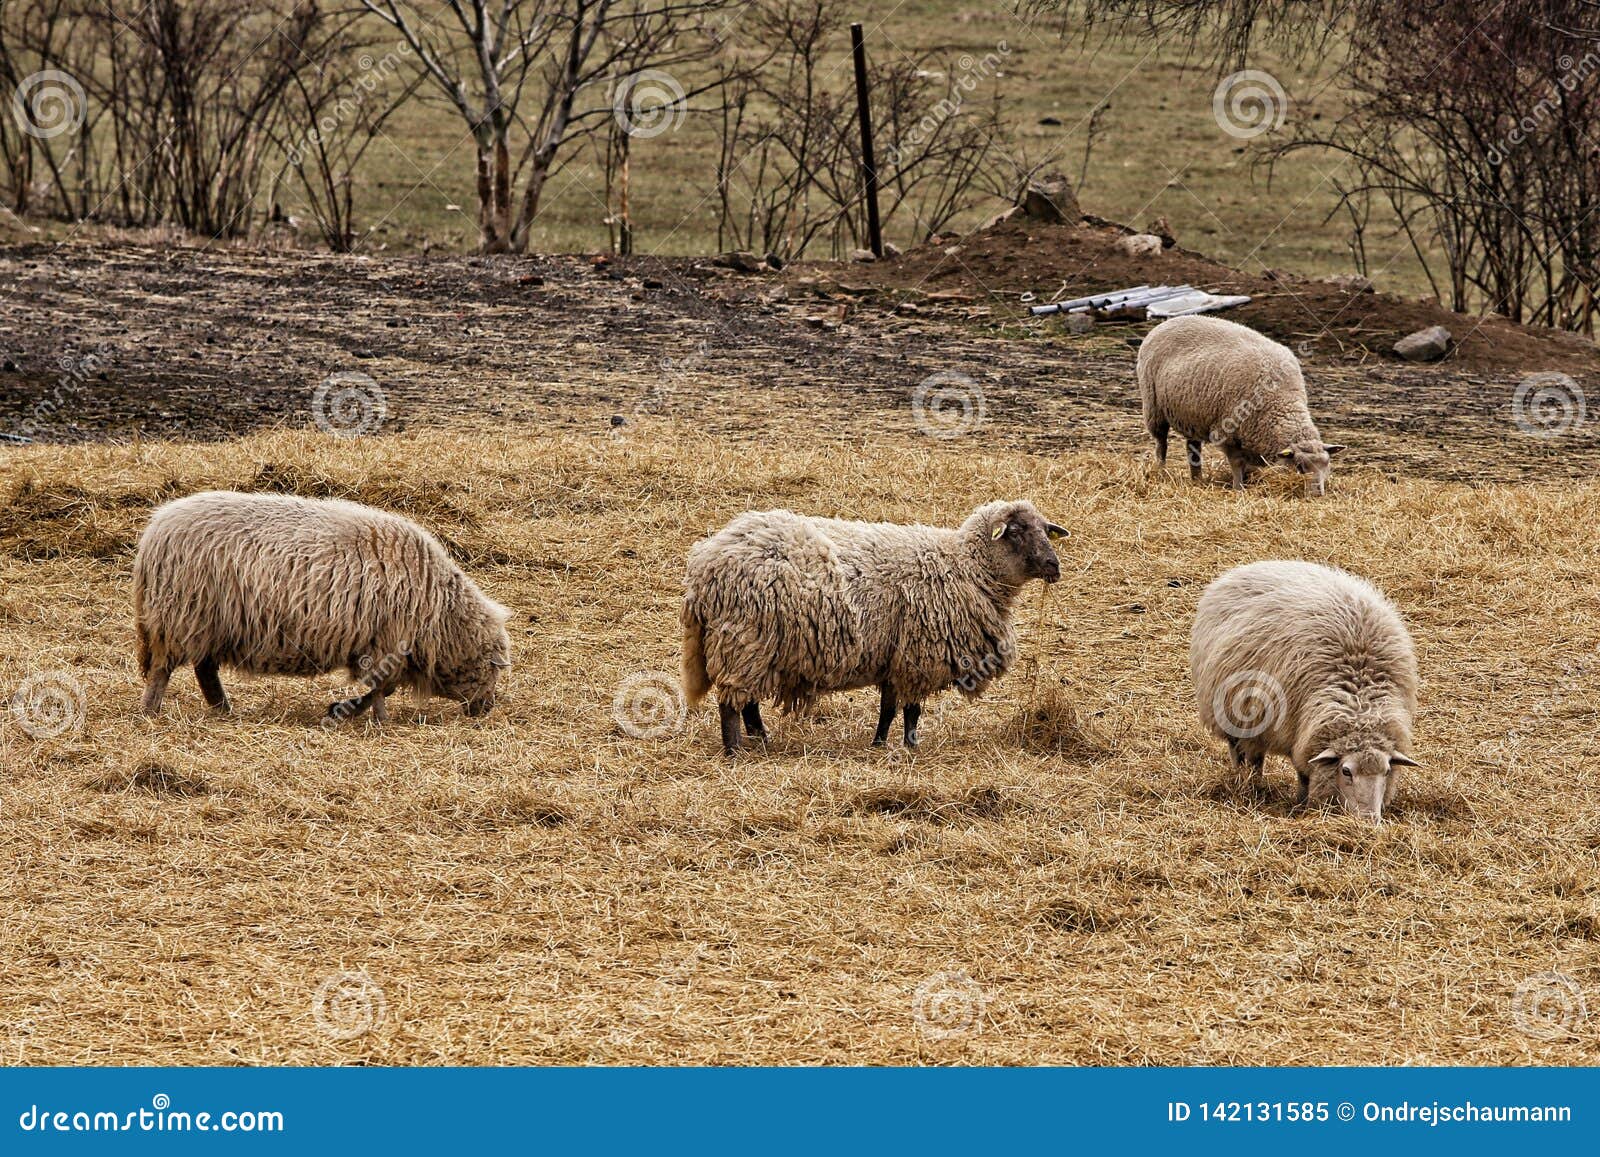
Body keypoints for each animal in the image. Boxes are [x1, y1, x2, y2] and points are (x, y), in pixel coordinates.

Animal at [133, 491, 511, 721]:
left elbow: (379, 687)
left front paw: (344, 710)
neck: (441, 613)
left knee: (205, 669)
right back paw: (152, 709)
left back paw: (223, 709)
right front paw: (376, 719)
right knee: (166, 669)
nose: (486, 709)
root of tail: (156, 530)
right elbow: (382, 688)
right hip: (183, 616)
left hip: (208, 624)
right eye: (492, 668)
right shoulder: (387, 643)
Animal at [680, 500, 1068, 754]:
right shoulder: (919, 655)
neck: (968, 567)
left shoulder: (894, 655)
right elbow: (911, 710)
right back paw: (735, 750)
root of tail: (706, 563)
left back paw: (761, 739)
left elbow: (888, 708)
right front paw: (910, 747)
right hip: (745, 640)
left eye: (1046, 530)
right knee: (732, 703)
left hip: (755, 647)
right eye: (1015, 532)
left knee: (746, 701)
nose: (1054, 565)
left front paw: (879, 743)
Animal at [1136, 314, 1345, 495]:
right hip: (1153, 407)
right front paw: (1239, 488)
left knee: (1192, 448)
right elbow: (1237, 464)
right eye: (1300, 467)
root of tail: (1168, 322)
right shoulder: (1228, 432)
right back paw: (1161, 471)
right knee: (1161, 444)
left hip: (1192, 415)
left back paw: (1197, 479)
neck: (1279, 401)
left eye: (1327, 465)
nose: (1318, 494)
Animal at [1190, 560, 1419, 822]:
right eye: (1346, 771)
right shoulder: (1297, 732)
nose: (1368, 819)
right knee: (1244, 754)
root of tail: (1253, 566)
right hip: (1234, 716)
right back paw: (1247, 784)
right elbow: (1303, 773)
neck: (1359, 698)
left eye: (1387, 771)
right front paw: (1302, 804)